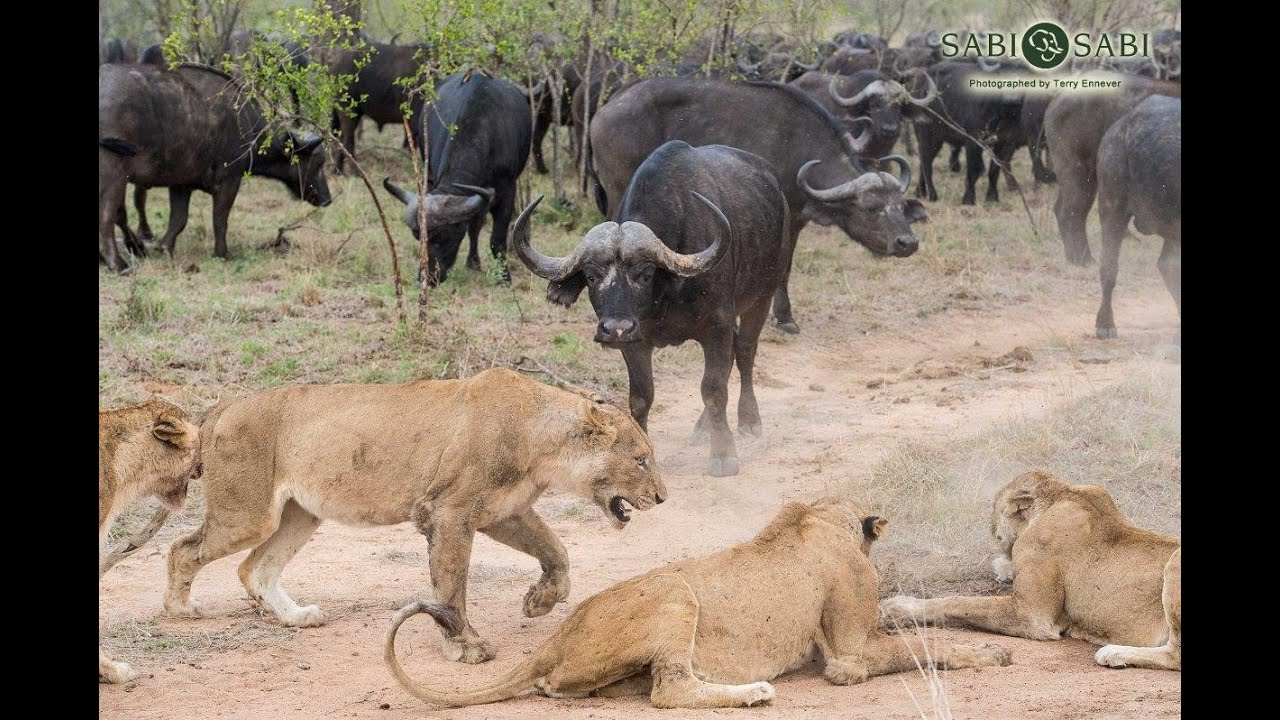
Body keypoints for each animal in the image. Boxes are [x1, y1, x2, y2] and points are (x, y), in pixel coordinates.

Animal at [164, 368, 666, 664]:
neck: (542, 443)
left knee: (256, 568)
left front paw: (539, 601)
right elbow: (451, 586)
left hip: (298, 515)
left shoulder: (502, 511)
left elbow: (557, 552)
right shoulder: (448, 512)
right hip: (247, 514)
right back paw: (181, 608)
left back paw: (297, 617)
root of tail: (226, 405)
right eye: (641, 460)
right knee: (183, 549)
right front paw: (465, 647)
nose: (663, 497)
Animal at [384, 497, 1012, 709]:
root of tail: (551, 642)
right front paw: (988, 657)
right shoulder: (848, 657)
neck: (822, 516)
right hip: (675, 592)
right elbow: (918, 648)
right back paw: (754, 693)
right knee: (670, 691)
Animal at [881, 470, 1181, 671]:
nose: (990, 527)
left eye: (994, 507)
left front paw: (897, 607)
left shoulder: (1032, 615)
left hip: (1174, 565)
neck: (1063, 493)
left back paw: (1113, 653)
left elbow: (958, 603)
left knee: (1175, 656)